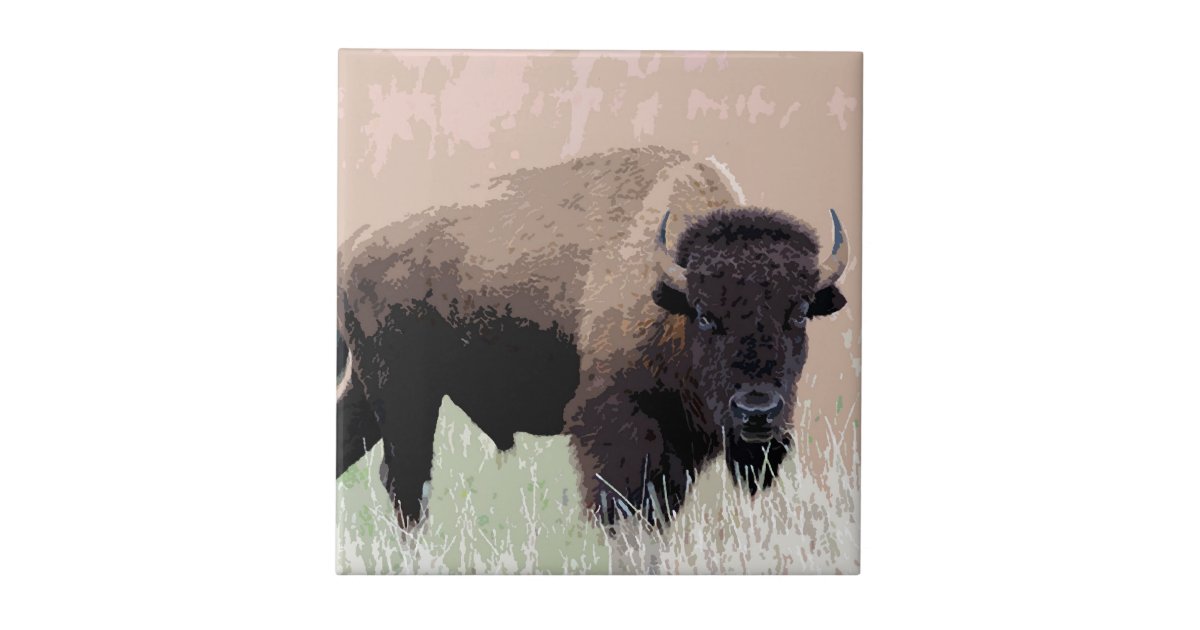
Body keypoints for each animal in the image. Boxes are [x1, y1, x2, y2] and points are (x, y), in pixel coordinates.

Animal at [337, 146, 848, 527]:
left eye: (800, 312)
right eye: (705, 315)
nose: (757, 411)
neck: (669, 290)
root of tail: (355, 243)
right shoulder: (618, 430)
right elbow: (622, 507)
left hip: (371, 388)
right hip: (404, 395)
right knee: (406, 482)